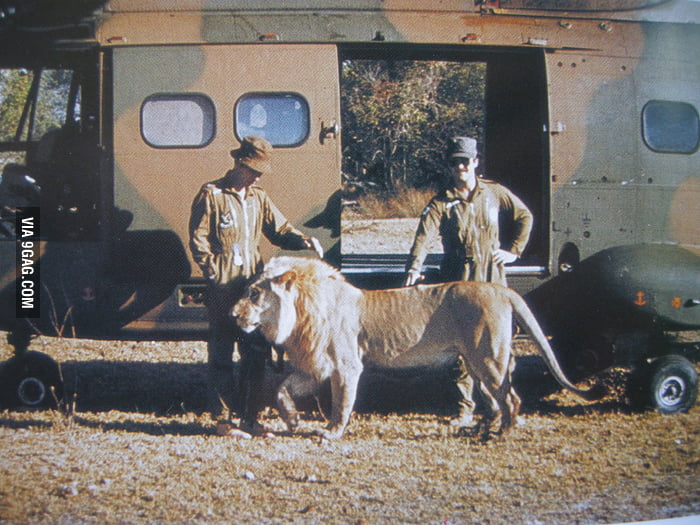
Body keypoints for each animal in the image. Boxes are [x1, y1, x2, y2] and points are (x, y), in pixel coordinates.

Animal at [232, 256, 601, 440]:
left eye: (254, 293)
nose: (232, 314)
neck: (301, 309)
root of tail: (502, 290)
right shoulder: (317, 366)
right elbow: (281, 389)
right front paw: (293, 421)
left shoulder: (346, 366)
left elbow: (341, 403)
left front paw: (332, 433)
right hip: (477, 360)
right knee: (496, 400)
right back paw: (483, 428)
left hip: (489, 358)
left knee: (511, 398)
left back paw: (502, 434)